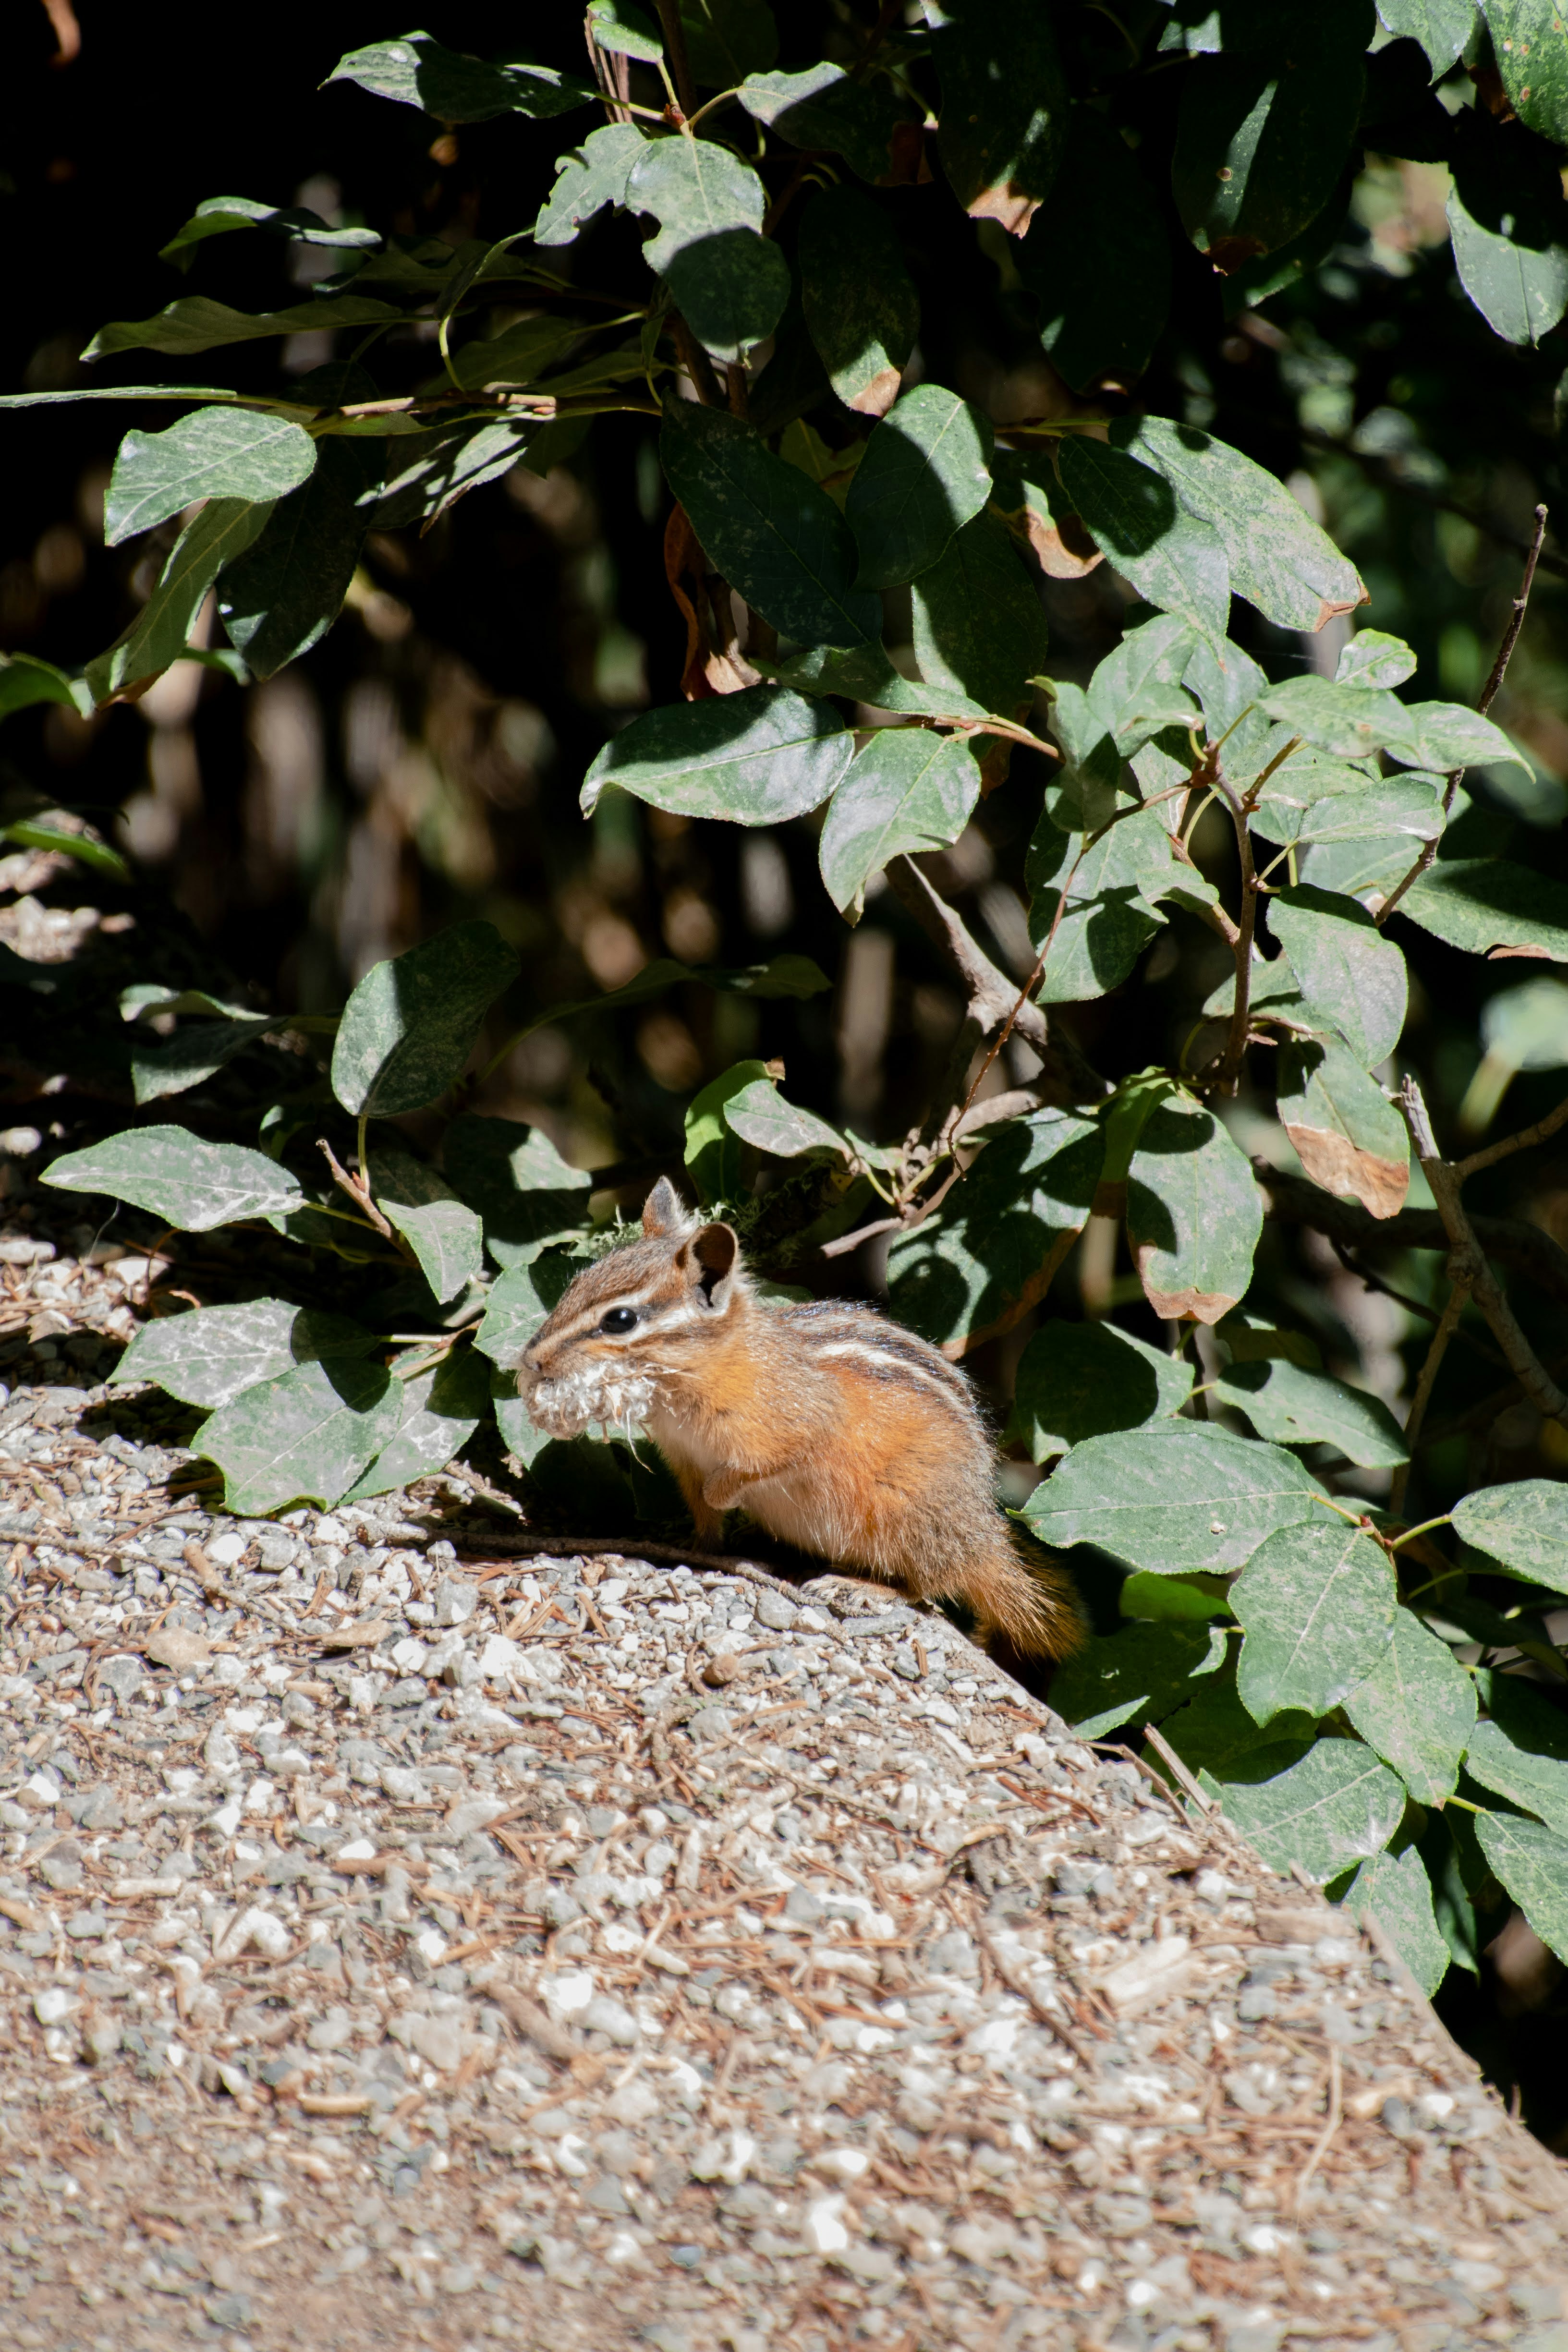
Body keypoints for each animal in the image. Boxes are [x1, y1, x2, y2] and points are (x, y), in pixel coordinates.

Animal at [515, 1177, 1083, 1658]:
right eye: (579, 1280)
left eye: (620, 1319)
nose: (531, 1359)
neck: (697, 1377)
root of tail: (983, 1534)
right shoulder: (683, 1457)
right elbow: (700, 1507)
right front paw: (691, 1540)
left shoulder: (794, 1426)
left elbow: (756, 1469)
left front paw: (725, 1496)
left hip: (911, 1515)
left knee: (931, 1585)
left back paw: (861, 1587)